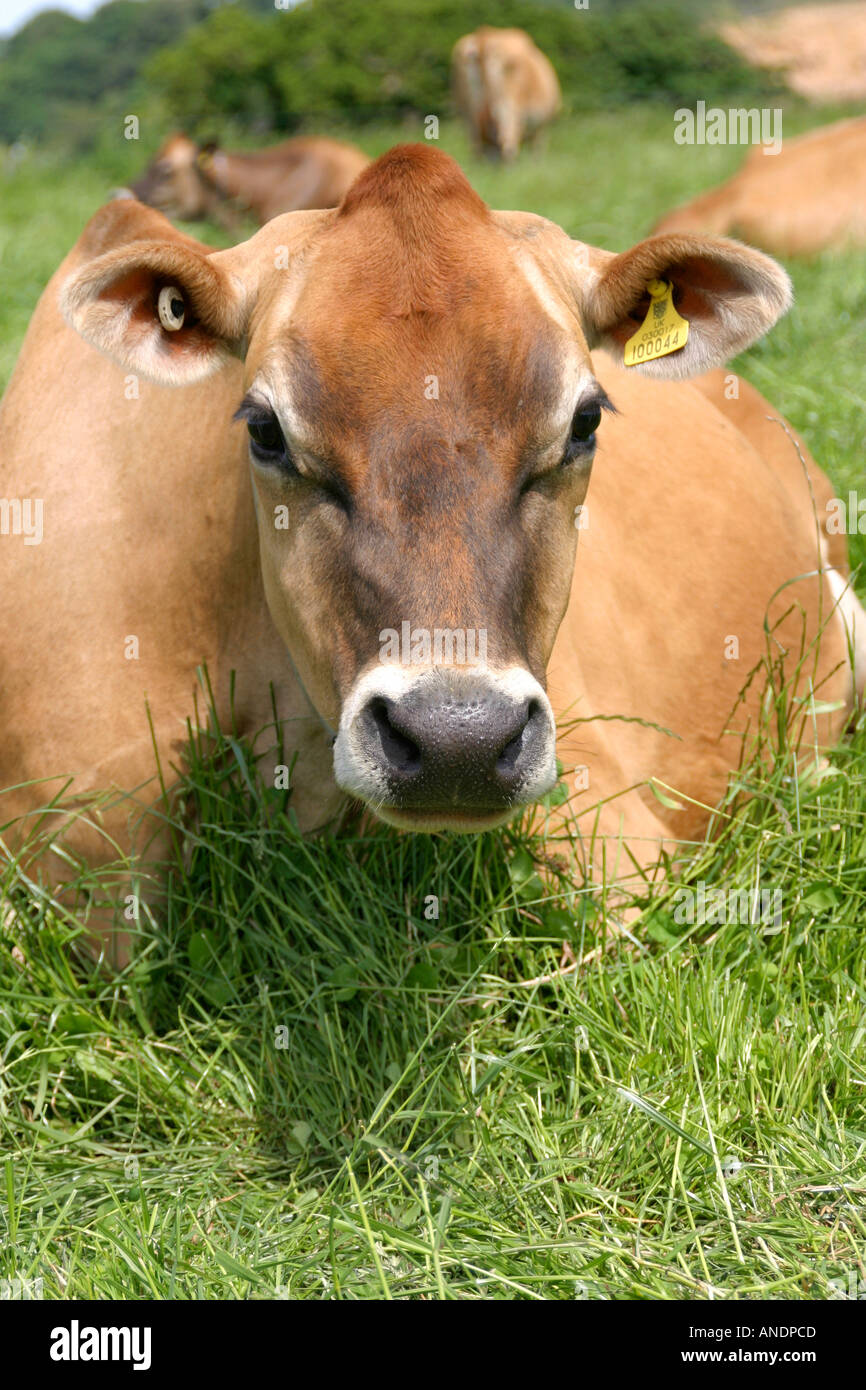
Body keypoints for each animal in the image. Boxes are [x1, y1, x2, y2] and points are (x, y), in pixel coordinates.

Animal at [452, 27, 561, 161]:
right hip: (511, 110)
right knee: (509, 145)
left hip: (468, 111)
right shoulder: (540, 128)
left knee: (476, 146)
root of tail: (483, 38)